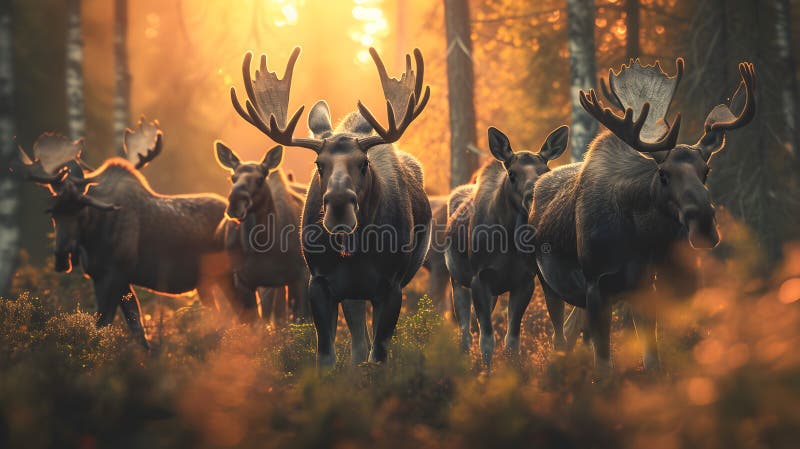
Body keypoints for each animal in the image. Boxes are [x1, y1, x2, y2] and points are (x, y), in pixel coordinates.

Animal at [15, 119, 238, 347]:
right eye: (52, 212)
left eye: (81, 210)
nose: (61, 256)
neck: (93, 235)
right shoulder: (108, 278)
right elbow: (136, 327)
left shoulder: (115, 275)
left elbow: (104, 324)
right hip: (205, 284)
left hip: (229, 277)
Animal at [230, 46, 432, 368]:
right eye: (318, 164)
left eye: (363, 163)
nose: (338, 207)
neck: (355, 249)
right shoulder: (318, 281)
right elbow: (326, 356)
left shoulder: (392, 285)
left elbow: (379, 356)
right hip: (351, 293)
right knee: (358, 341)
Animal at [444, 125, 569, 367]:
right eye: (512, 174)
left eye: (545, 171)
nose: (533, 197)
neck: (507, 243)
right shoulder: (478, 278)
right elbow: (486, 340)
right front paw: (486, 373)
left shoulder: (524, 280)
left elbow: (511, 341)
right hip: (457, 280)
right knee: (465, 334)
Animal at [529, 59, 756, 374]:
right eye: (663, 174)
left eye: (706, 171)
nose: (704, 227)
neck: (640, 238)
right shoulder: (596, 282)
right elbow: (604, 367)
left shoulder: (648, 284)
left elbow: (654, 361)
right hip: (547, 281)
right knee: (559, 337)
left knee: (572, 329)